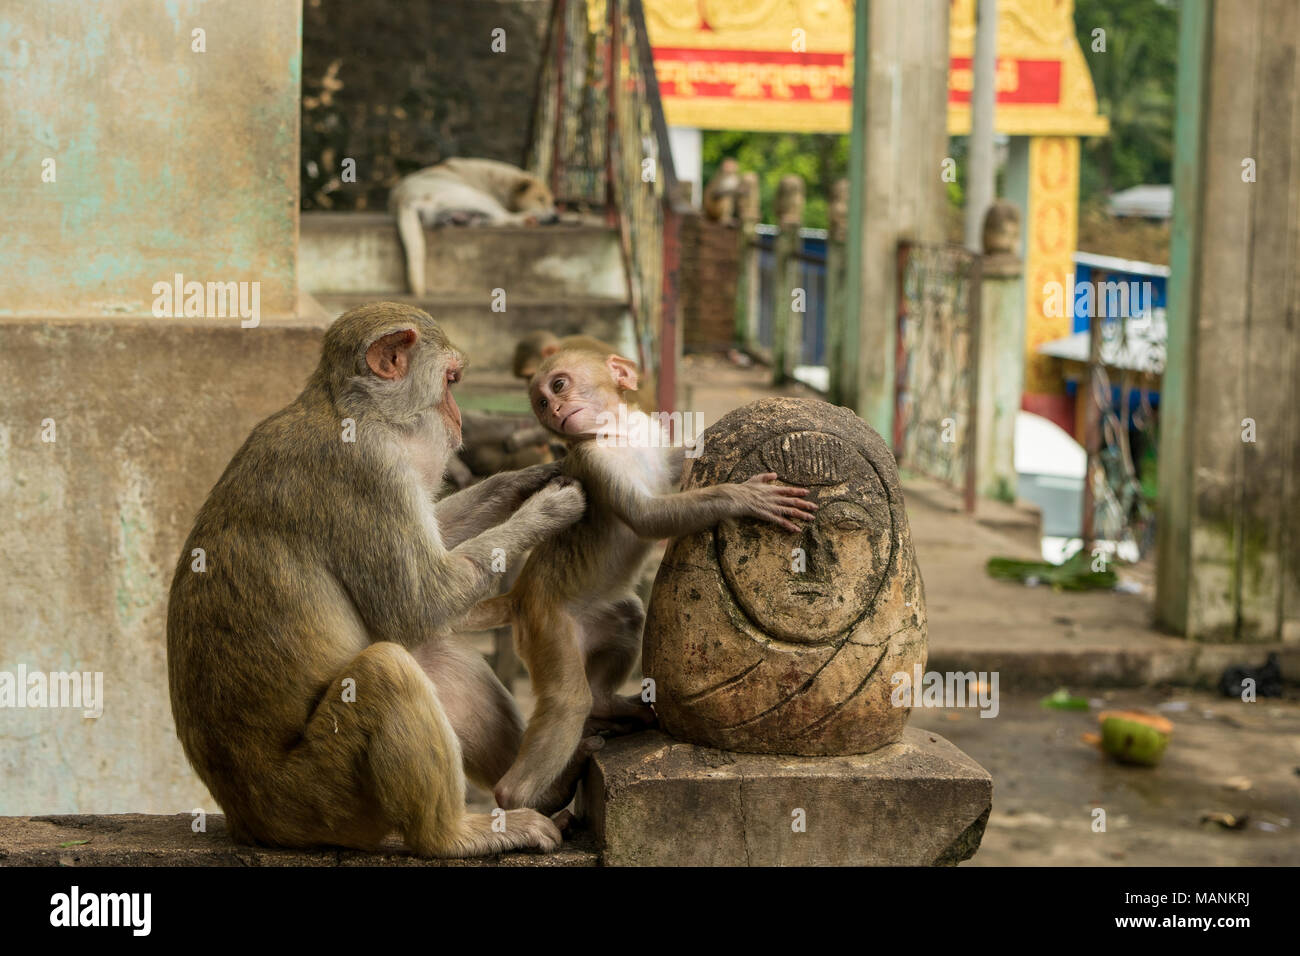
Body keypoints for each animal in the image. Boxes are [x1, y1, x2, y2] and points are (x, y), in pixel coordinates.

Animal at [167, 301, 589, 858]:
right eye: (451, 380)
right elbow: (421, 603)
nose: (458, 419)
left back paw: (544, 789)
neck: (354, 410)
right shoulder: (370, 467)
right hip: (326, 798)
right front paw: (548, 508)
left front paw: (525, 480)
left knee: (434, 654)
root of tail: (248, 816)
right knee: (388, 668)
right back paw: (454, 835)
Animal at [464, 347, 819, 812]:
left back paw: (608, 704)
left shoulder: (647, 430)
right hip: (547, 629)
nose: (555, 411)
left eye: (557, 387)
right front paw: (745, 496)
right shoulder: (594, 462)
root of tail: (520, 596)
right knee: (569, 703)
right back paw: (528, 798)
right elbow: (647, 518)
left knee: (628, 618)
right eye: (541, 402)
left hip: (588, 620)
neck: (617, 435)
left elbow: (673, 464)